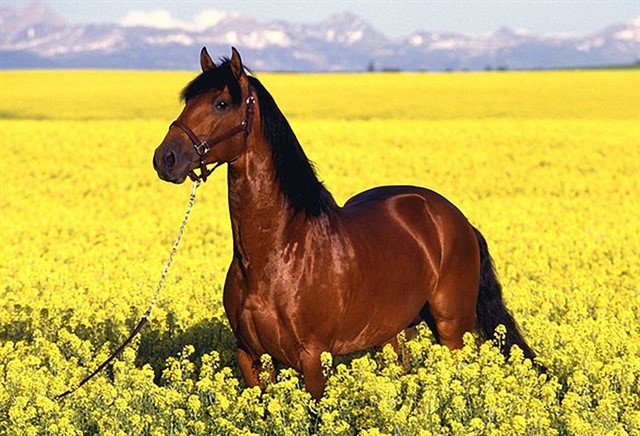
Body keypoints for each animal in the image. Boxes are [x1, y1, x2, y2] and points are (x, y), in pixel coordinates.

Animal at [152, 47, 539, 399]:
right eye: (188, 100)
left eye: (221, 103)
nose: (165, 158)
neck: (276, 253)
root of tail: (455, 218)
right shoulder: (251, 357)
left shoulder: (313, 357)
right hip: (394, 331)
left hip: (451, 328)